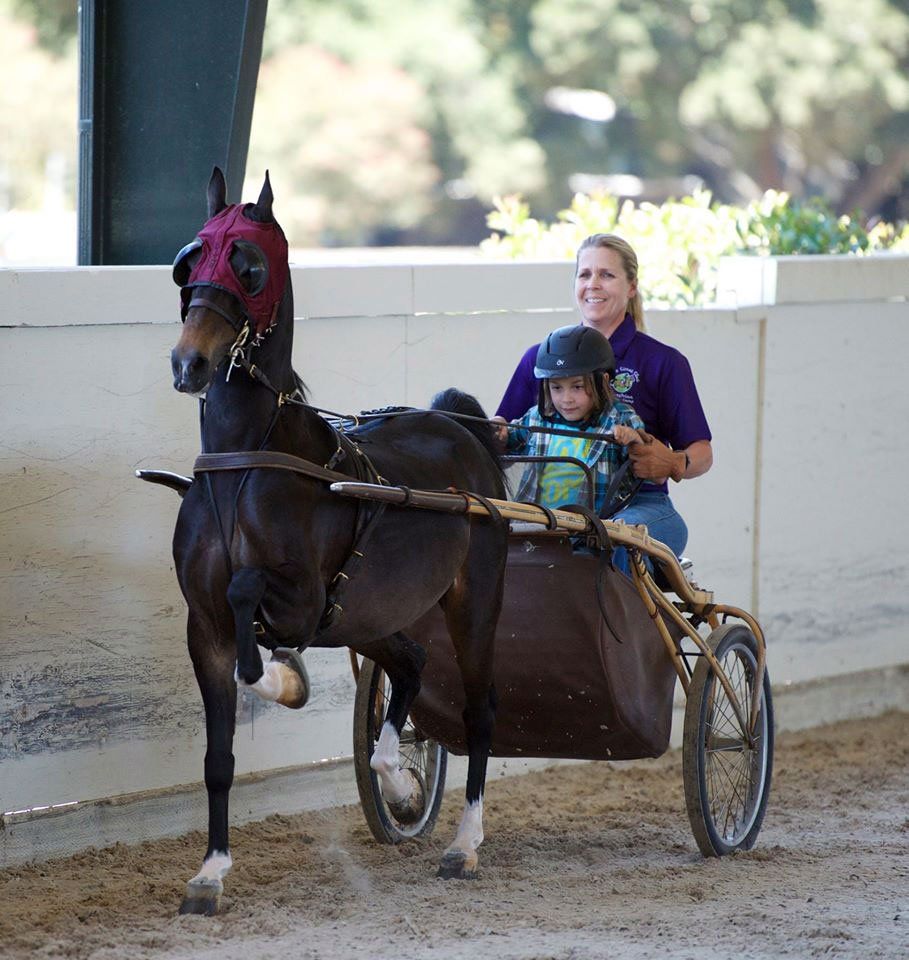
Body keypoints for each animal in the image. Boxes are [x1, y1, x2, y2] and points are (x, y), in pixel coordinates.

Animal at [166, 168, 509, 915]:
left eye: (249, 266)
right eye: (191, 258)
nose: (189, 363)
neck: (244, 461)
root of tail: (461, 428)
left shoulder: (303, 601)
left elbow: (250, 607)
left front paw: (286, 680)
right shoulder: (204, 627)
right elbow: (217, 758)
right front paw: (210, 872)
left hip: (472, 603)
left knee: (479, 711)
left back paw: (464, 843)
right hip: (367, 617)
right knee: (410, 663)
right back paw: (398, 782)